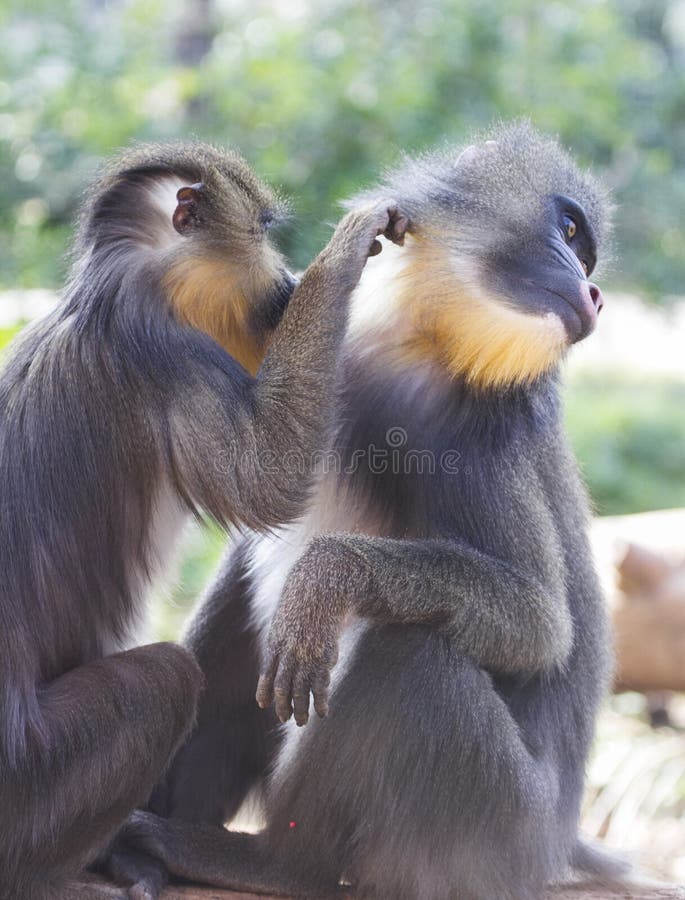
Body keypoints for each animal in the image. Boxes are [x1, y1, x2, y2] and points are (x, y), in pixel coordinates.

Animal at [0, 140, 408, 900]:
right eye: (265, 228)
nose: (288, 278)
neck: (122, 285)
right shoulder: (168, 357)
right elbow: (267, 478)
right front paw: (345, 251)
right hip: (33, 774)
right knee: (163, 680)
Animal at [118, 124, 625, 900]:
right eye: (568, 231)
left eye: (583, 248)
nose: (591, 288)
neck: (413, 331)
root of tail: (554, 846)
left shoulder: (483, 428)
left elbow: (540, 624)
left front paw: (331, 574)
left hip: (486, 830)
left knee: (408, 652)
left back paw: (269, 863)